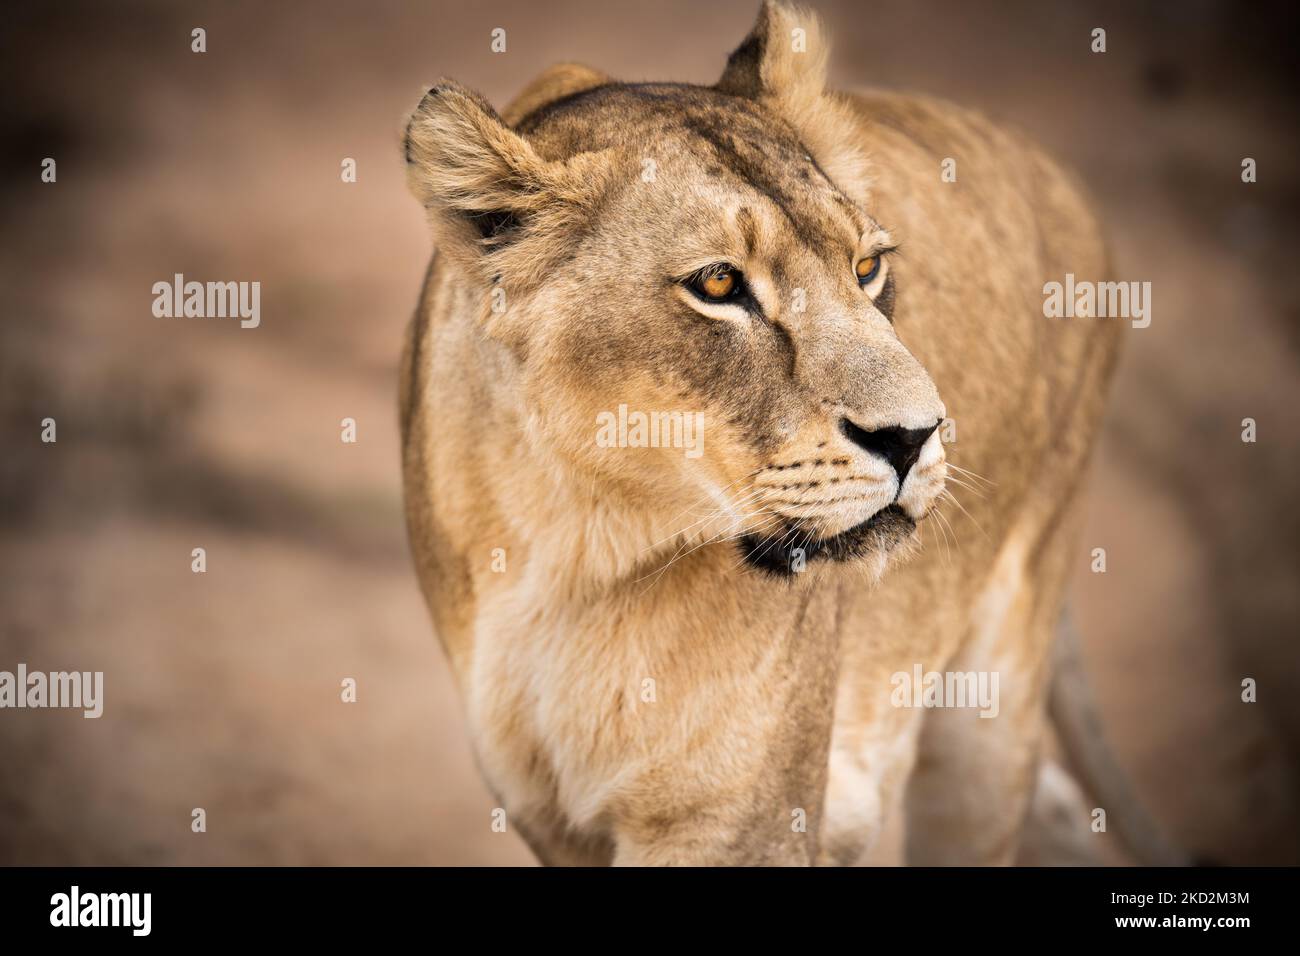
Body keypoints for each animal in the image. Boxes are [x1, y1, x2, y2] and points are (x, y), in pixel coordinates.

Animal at [399, 1, 1181, 865]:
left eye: (868, 268)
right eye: (718, 283)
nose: (917, 437)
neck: (570, 546)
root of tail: (1039, 154)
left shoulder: (737, 822)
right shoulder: (552, 820)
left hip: (991, 706)